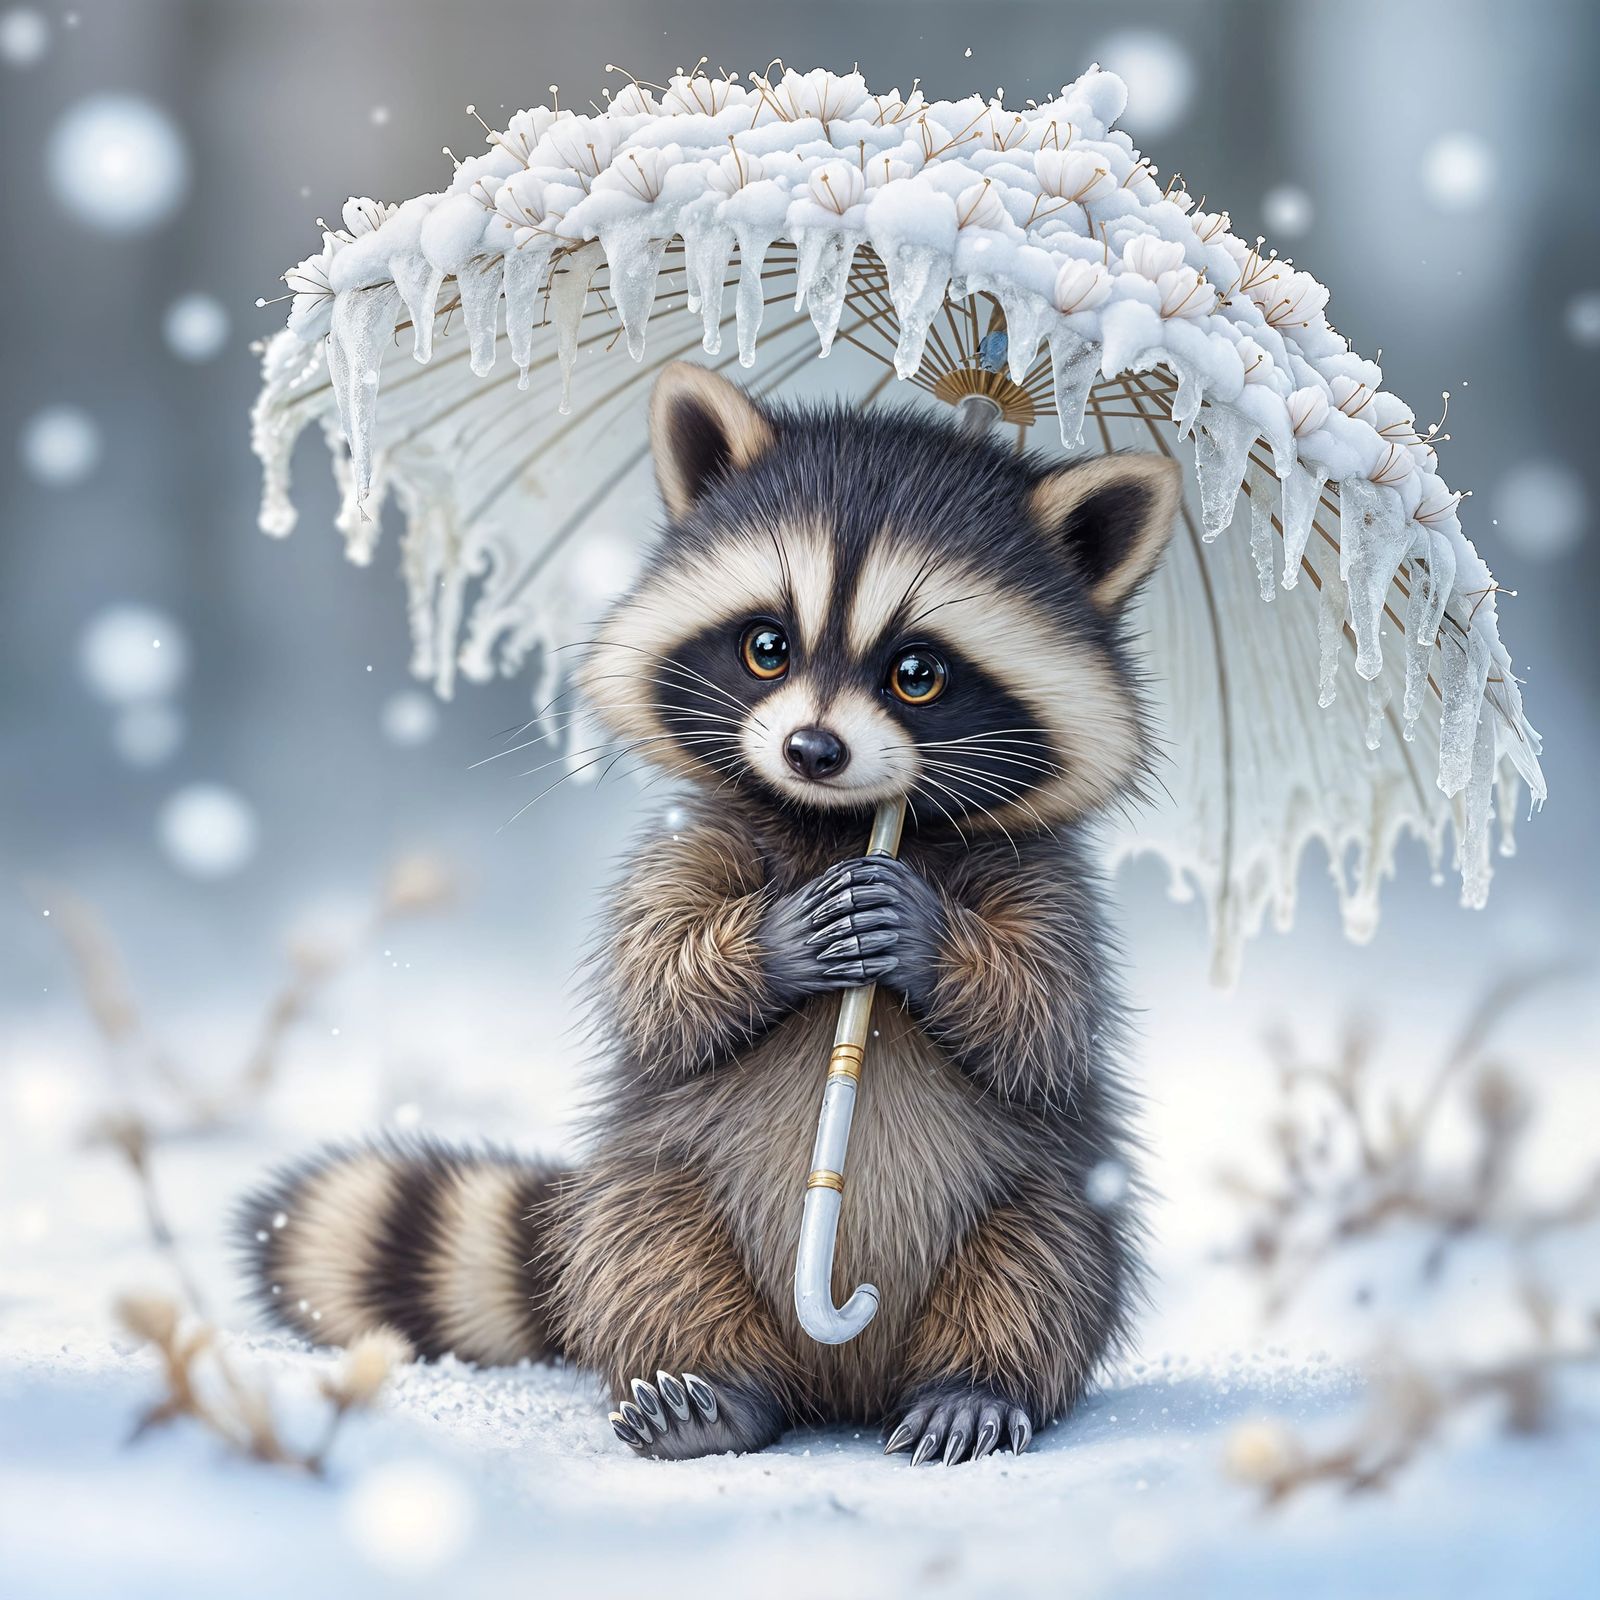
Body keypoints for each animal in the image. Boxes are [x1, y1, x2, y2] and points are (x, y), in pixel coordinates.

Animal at [238, 360, 1182, 1467]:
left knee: (1044, 1257)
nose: (813, 750)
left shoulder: (1047, 879)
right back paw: (719, 1389)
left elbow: (1045, 1011)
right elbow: (655, 978)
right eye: (766, 647)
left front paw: (926, 936)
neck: (839, 822)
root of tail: (840, 1382)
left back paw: (976, 1381)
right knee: (648, 1245)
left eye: (918, 674)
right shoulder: (689, 838)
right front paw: (777, 939)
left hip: (1044, 1189)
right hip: (654, 1182)